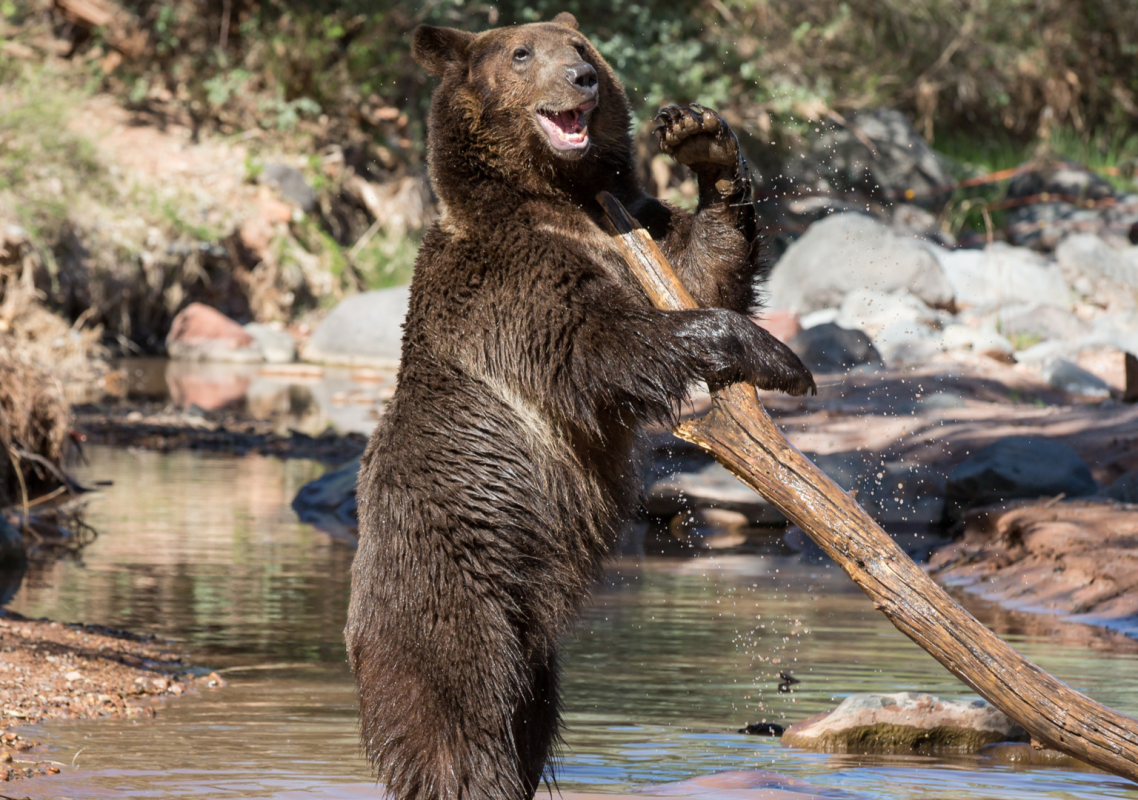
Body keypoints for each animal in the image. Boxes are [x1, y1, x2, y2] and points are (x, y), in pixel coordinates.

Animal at [345, 13, 815, 800]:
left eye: (582, 47)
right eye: (521, 53)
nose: (581, 78)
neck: (557, 198)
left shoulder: (633, 235)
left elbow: (703, 266)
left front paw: (704, 139)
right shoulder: (511, 286)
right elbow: (605, 342)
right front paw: (782, 358)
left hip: (532, 636)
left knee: (528, 715)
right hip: (453, 584)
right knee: (463, 710)